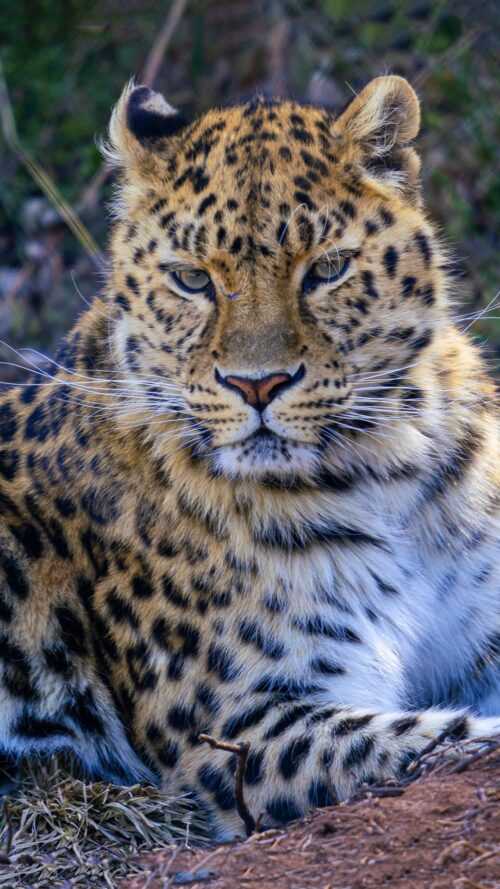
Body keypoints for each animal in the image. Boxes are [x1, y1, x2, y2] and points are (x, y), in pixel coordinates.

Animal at [0, 74, 499, 842]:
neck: (389, 467)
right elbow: (433, 734)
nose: (257, 385)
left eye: (327, 270)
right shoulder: (239, 726)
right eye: (192, 279)